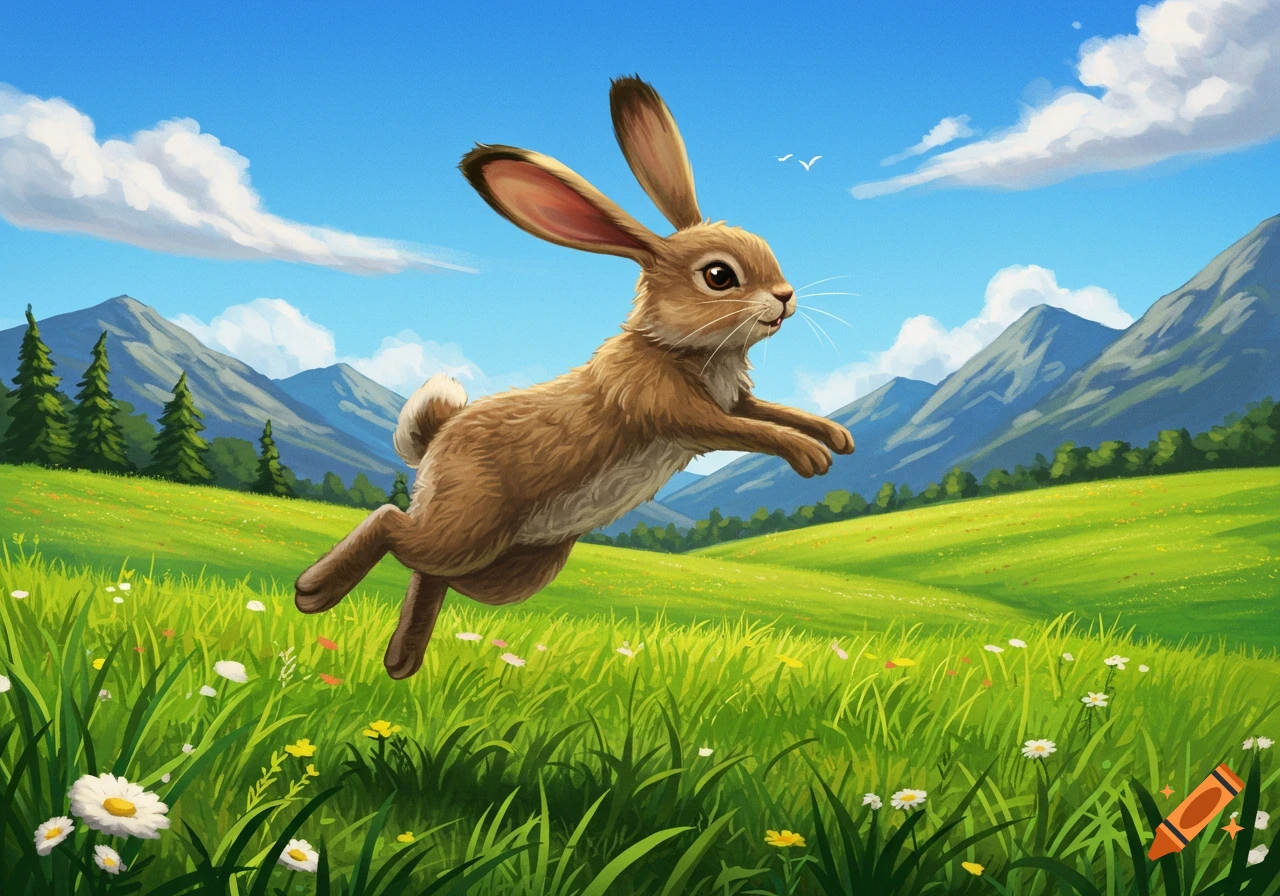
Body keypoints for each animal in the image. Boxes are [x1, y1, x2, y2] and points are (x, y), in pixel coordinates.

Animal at [294, 76, 855, 679]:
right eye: (719, 276)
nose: (786, 297)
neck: (674, 346)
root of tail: (437, 438)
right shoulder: (680, 414)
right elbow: (754, 431)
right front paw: (810, 456)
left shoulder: (733, 400)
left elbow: (775, 412)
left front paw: (837, 438)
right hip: (470, 524)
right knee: (390, 522)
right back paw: (313, 592)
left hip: (510, 565)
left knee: (428, 567)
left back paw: (401, 661)